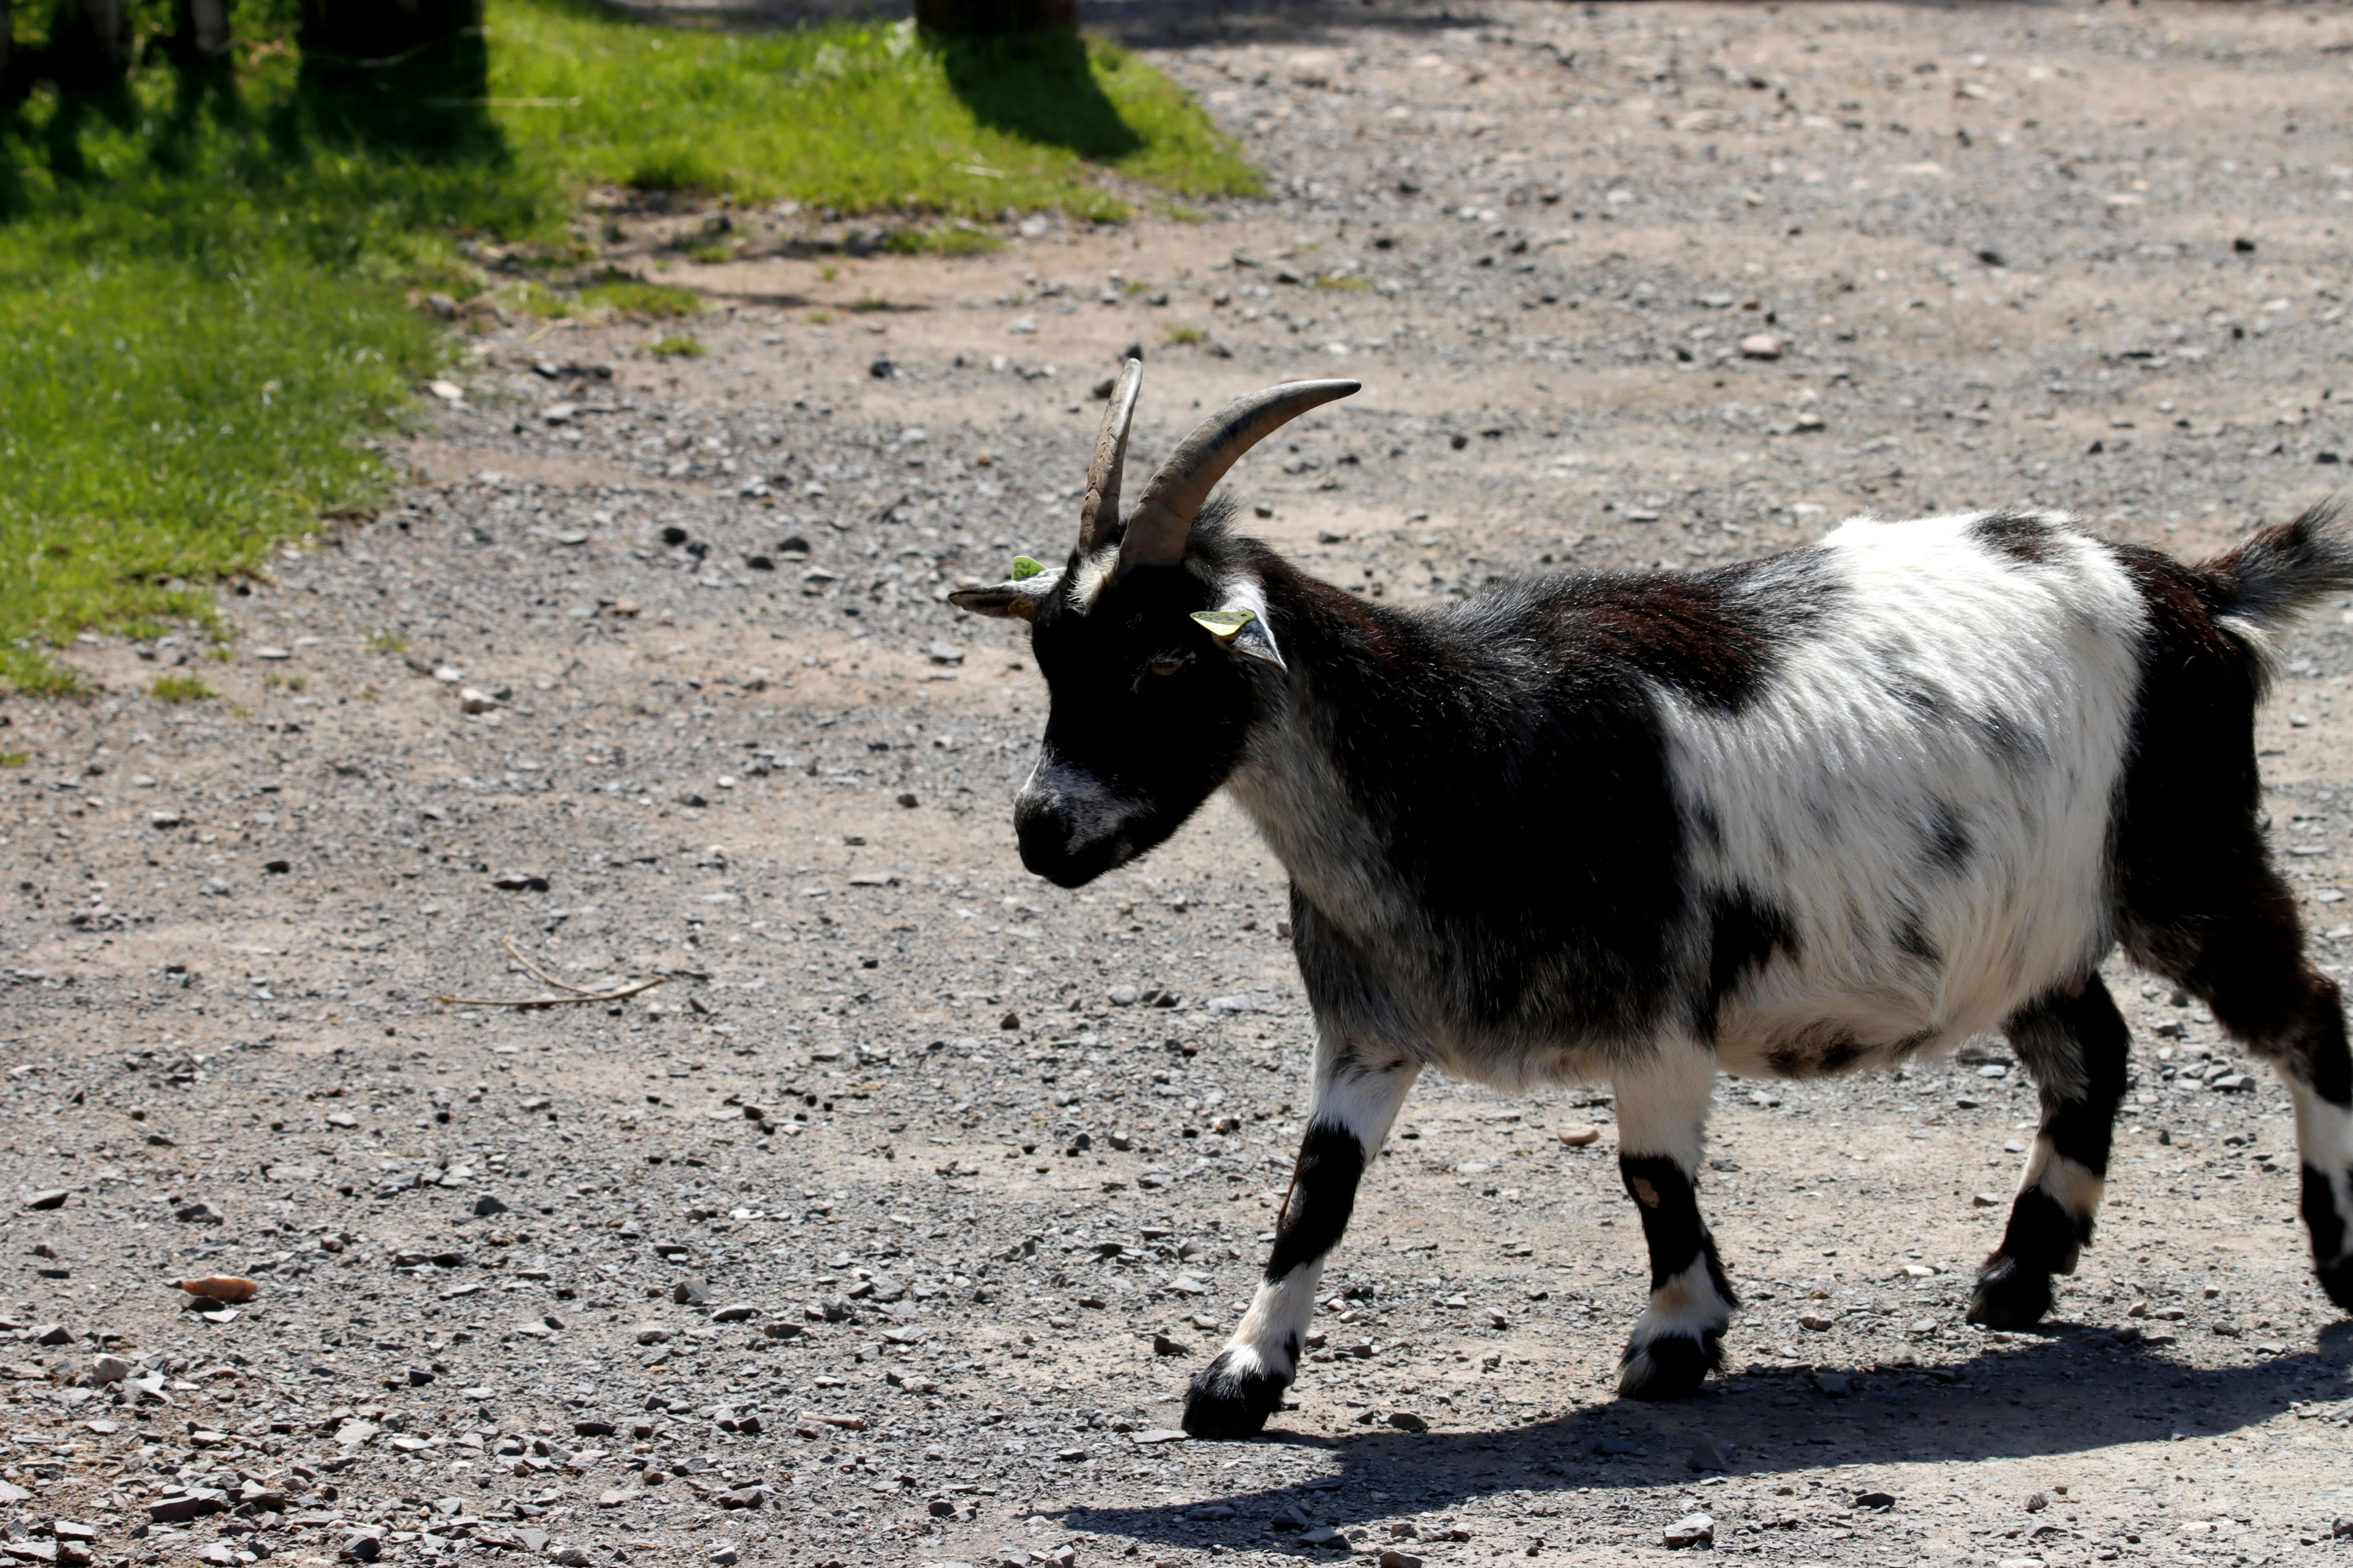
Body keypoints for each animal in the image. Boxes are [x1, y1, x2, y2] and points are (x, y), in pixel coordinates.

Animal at [951, 361, 2353, 1439]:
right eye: (1046, 657)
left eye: (1164, 662)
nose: (1040, 831)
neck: (1462, 752)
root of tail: (2196, 590)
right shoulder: (1368, 1028)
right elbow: (1316, 1193)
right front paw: (1238, 1377)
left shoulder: (1659, 1016)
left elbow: (1649, 1178)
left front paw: (1674, 1340)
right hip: (2023, 920)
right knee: (2089, 1049)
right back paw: (2016, 1273)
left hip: (2187, 857)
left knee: (2307, 1012)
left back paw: (2337, 1256)